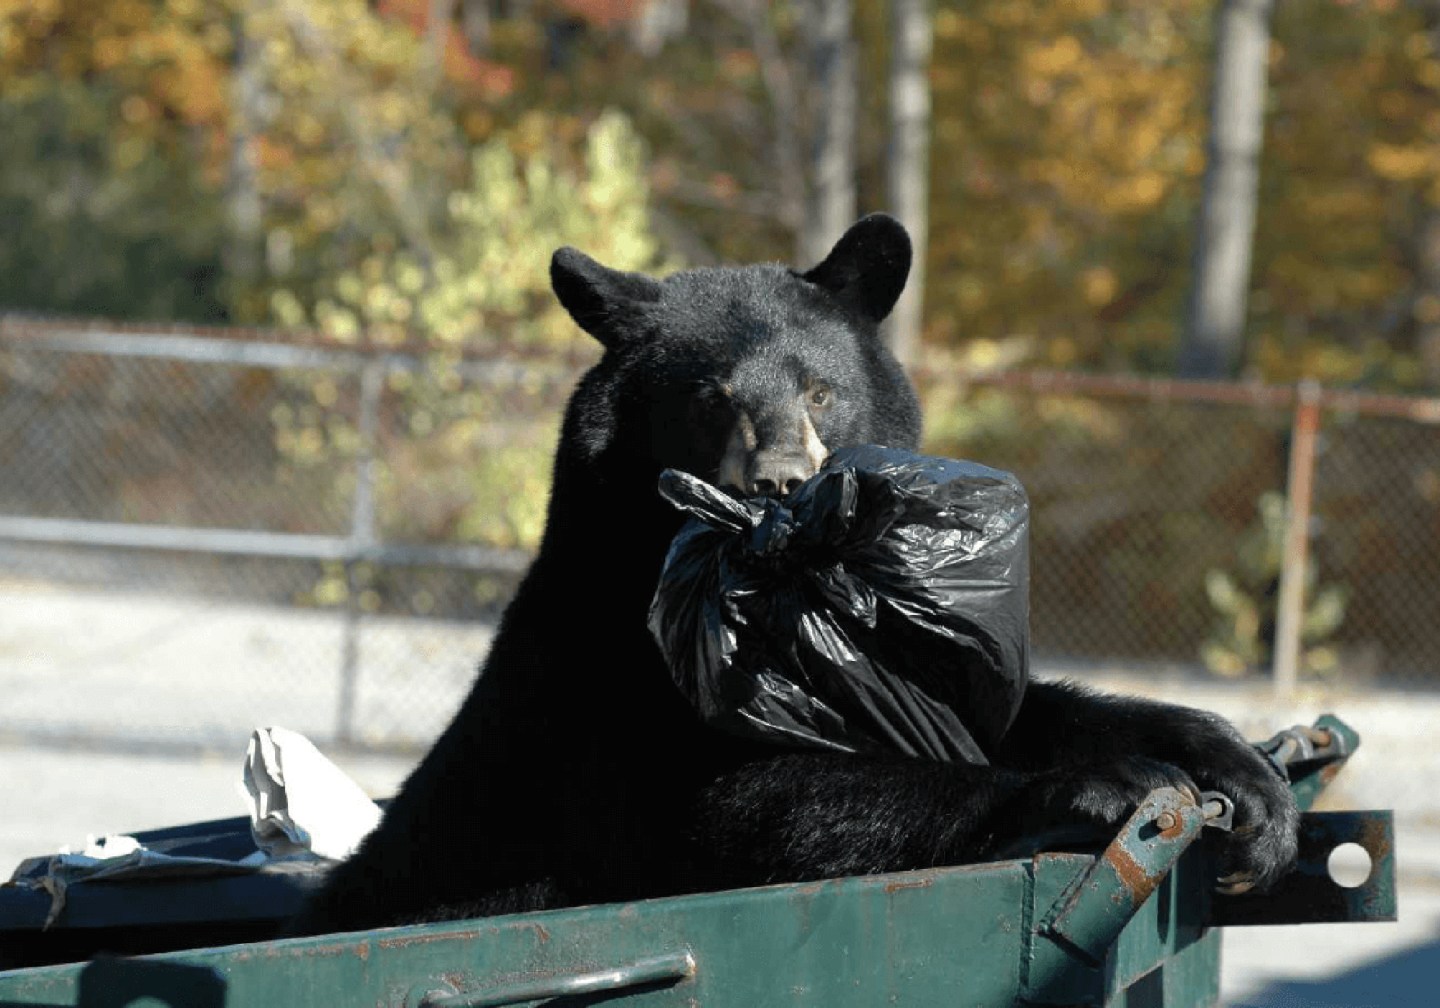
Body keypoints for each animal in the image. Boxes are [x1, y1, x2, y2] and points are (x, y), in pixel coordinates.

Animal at [291, 214, 1298, 935]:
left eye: (820, 390)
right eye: (711, 398)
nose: (781, 479)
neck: (782, 599)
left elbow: (989, 709)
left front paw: (1240, 775)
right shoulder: (616, 681)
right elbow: (736, 807)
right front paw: (1116, 785)